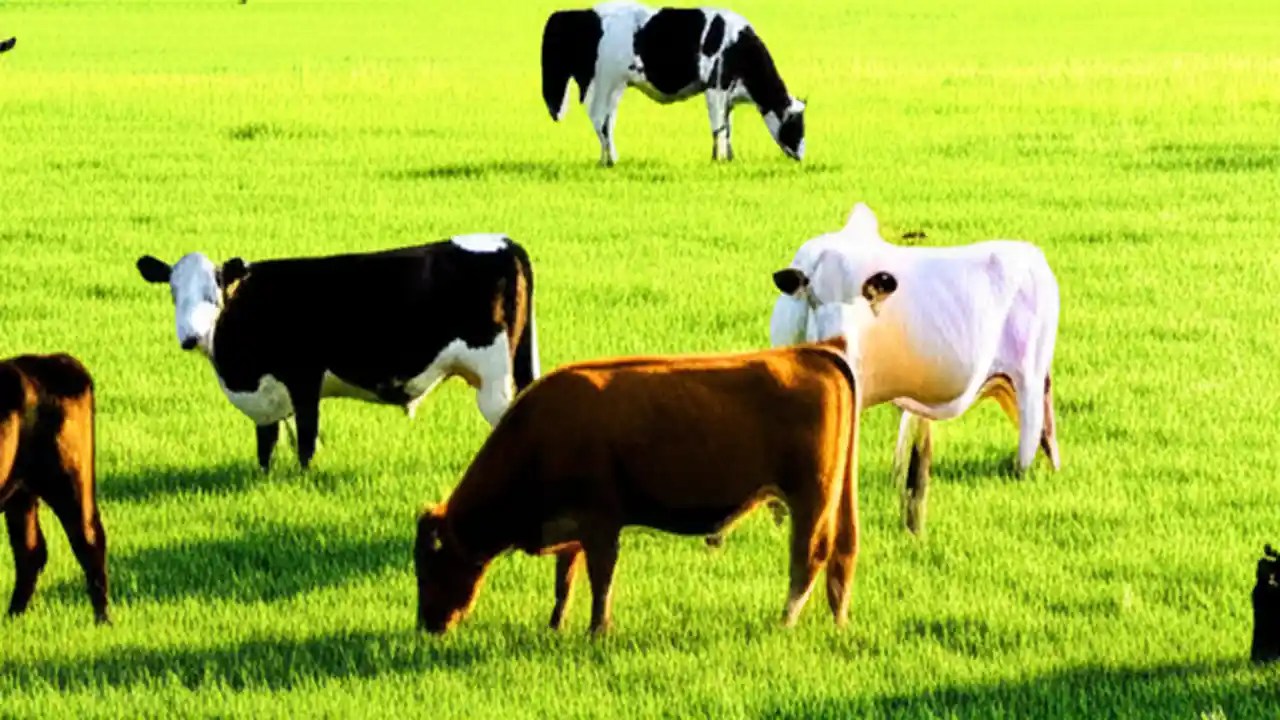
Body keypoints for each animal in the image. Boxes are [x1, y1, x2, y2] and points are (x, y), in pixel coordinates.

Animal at [1, 353, 109, 623]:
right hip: (21, 494)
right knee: (30, 550)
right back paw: (13, 616)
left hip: (69, 478)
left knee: (89, 539)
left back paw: (102, 620)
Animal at [136, 235, 539, 471]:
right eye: (173, 291)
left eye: (214, 290)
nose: (190, 337)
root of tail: (505, 243)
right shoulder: (264, 399)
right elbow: (266, 446)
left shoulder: (304, 379)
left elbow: (306, 440)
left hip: (493, 377)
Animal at [413, 270, 897, 635]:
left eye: (432, 564)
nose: (428, 625)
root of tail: (816, 352)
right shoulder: (573, 529)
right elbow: (565, 580)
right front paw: (555, 625)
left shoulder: (601, 522)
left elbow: (600, 580)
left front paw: (597, 631)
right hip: (837, 495)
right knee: (843, 554)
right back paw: (836, 621)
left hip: (811, 495)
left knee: (809, 555)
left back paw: (784, 622)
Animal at [541, 2, 805, 166]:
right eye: (797, 126)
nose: (802, 155)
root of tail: (585, 13)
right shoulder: (715, 87)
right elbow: (718, 127)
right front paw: (717, 160)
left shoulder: (728, 95)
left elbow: (727, 127)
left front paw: (729, 158)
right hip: (606, 83)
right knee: (601, 121)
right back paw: (611, 160)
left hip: (613, 86)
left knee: (605, 121)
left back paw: (605, 159)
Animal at [765, 201, 1061, 536]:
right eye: (814, 299)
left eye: (867, 298)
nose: (840, 341)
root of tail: (1032, 255)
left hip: (1029, 375)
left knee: (1029, 436)